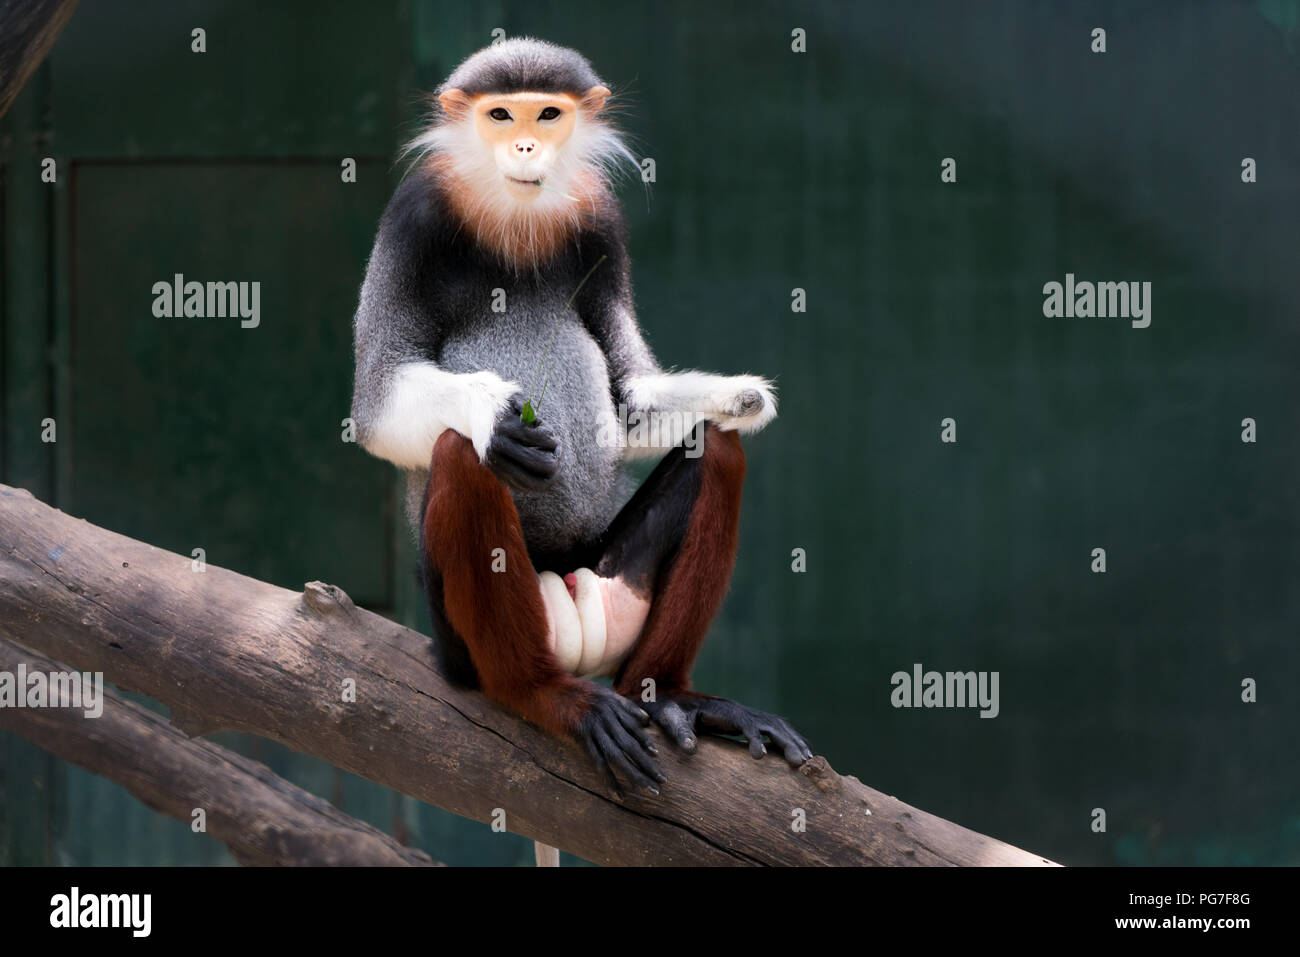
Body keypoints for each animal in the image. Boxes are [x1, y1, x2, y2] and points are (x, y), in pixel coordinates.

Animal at [350, 38, 811, 801]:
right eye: (500, 115)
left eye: (547, 114)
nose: (526, 143)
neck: (514, 213)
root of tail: (559, 577)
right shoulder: (411, 218)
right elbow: (377, 406)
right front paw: (490, 411)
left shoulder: (601, 222)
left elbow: (628, 397)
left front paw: (745, 399)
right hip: (458, 643)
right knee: (462, 456)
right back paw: (541, 693)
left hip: (608, 568)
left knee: (715, 450)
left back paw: (669, 695)